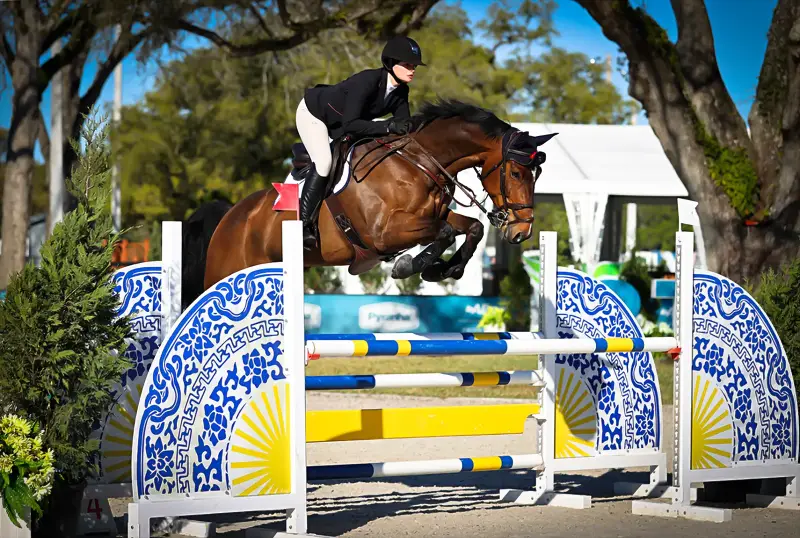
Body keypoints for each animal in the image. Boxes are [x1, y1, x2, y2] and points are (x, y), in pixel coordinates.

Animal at [181, 100, 556, 309]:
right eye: (516, 173)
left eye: (538, 173)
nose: (522, 232)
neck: (418, 161)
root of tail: (230, 217)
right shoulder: (384, 234)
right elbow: (446, 233)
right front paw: (411, 266)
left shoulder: (431, 217)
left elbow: (471, 228)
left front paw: (443, 270)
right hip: (225, 272)